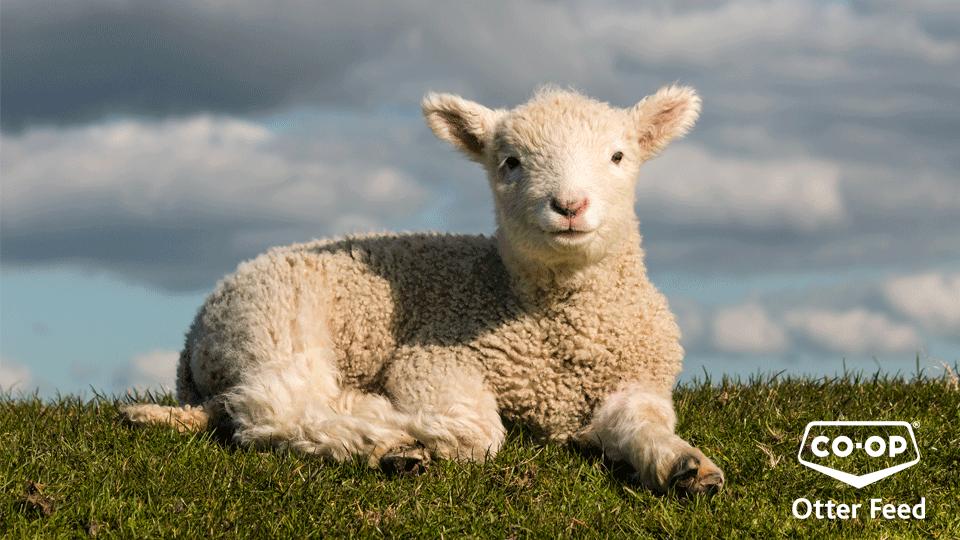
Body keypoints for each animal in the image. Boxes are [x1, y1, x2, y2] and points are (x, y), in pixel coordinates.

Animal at [121, 85, 724, 495]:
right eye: (510, 162)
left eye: (619, 157)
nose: (570, 205)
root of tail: (195, 335)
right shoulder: (433, 358)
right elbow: (479, 431)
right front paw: (399, 421)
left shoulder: (637, 380)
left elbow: (645, 424)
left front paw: (687, 466)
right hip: (274, 323)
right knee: (276, 409)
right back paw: (385, 441)